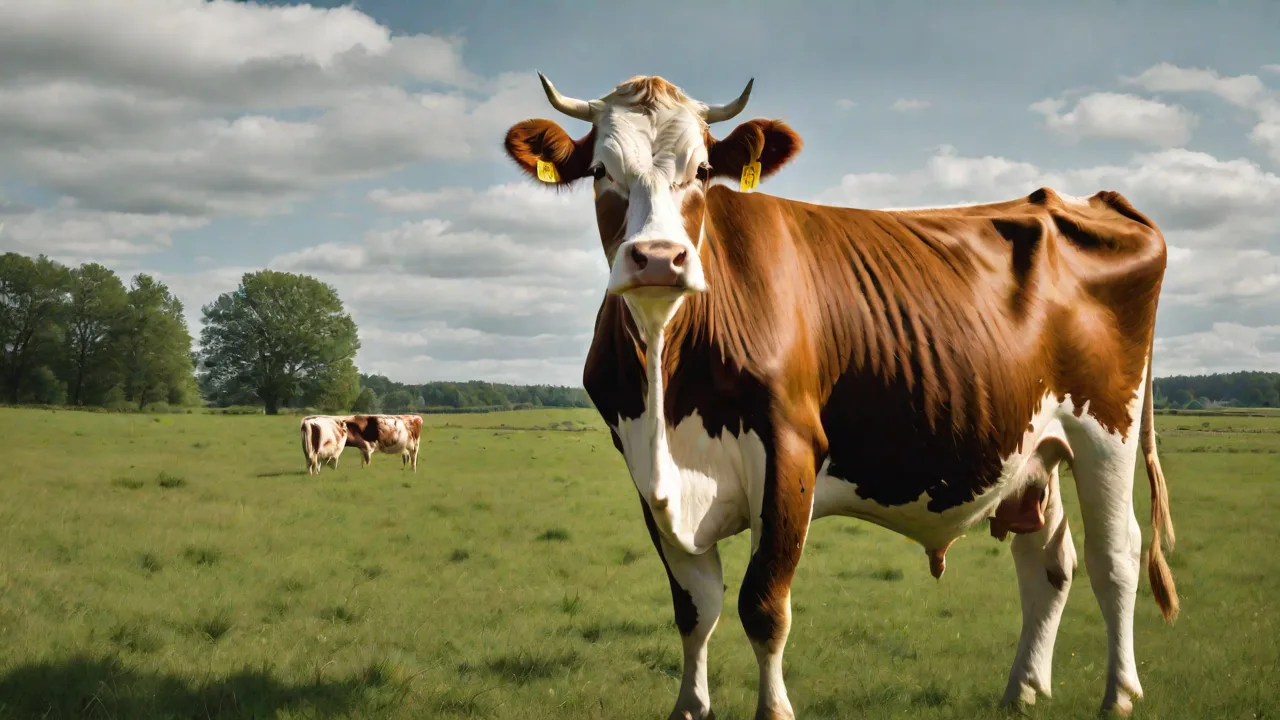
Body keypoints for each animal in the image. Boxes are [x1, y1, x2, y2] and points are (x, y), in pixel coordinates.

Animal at [502, 74, 1178, 720]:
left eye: (701, 171)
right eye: (600, 172)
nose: (659, 259)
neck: (668, 382)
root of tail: (1090, 199)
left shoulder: (790, 449)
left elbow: (763, 604)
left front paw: (773, 709)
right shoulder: (643, 467)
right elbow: (695, 606)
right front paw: (690, 708)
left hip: (1106, 429)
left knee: (1115, 556)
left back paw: (1119, 694)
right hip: (1038, 443)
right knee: (1047, 563)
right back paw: (1023, 690)